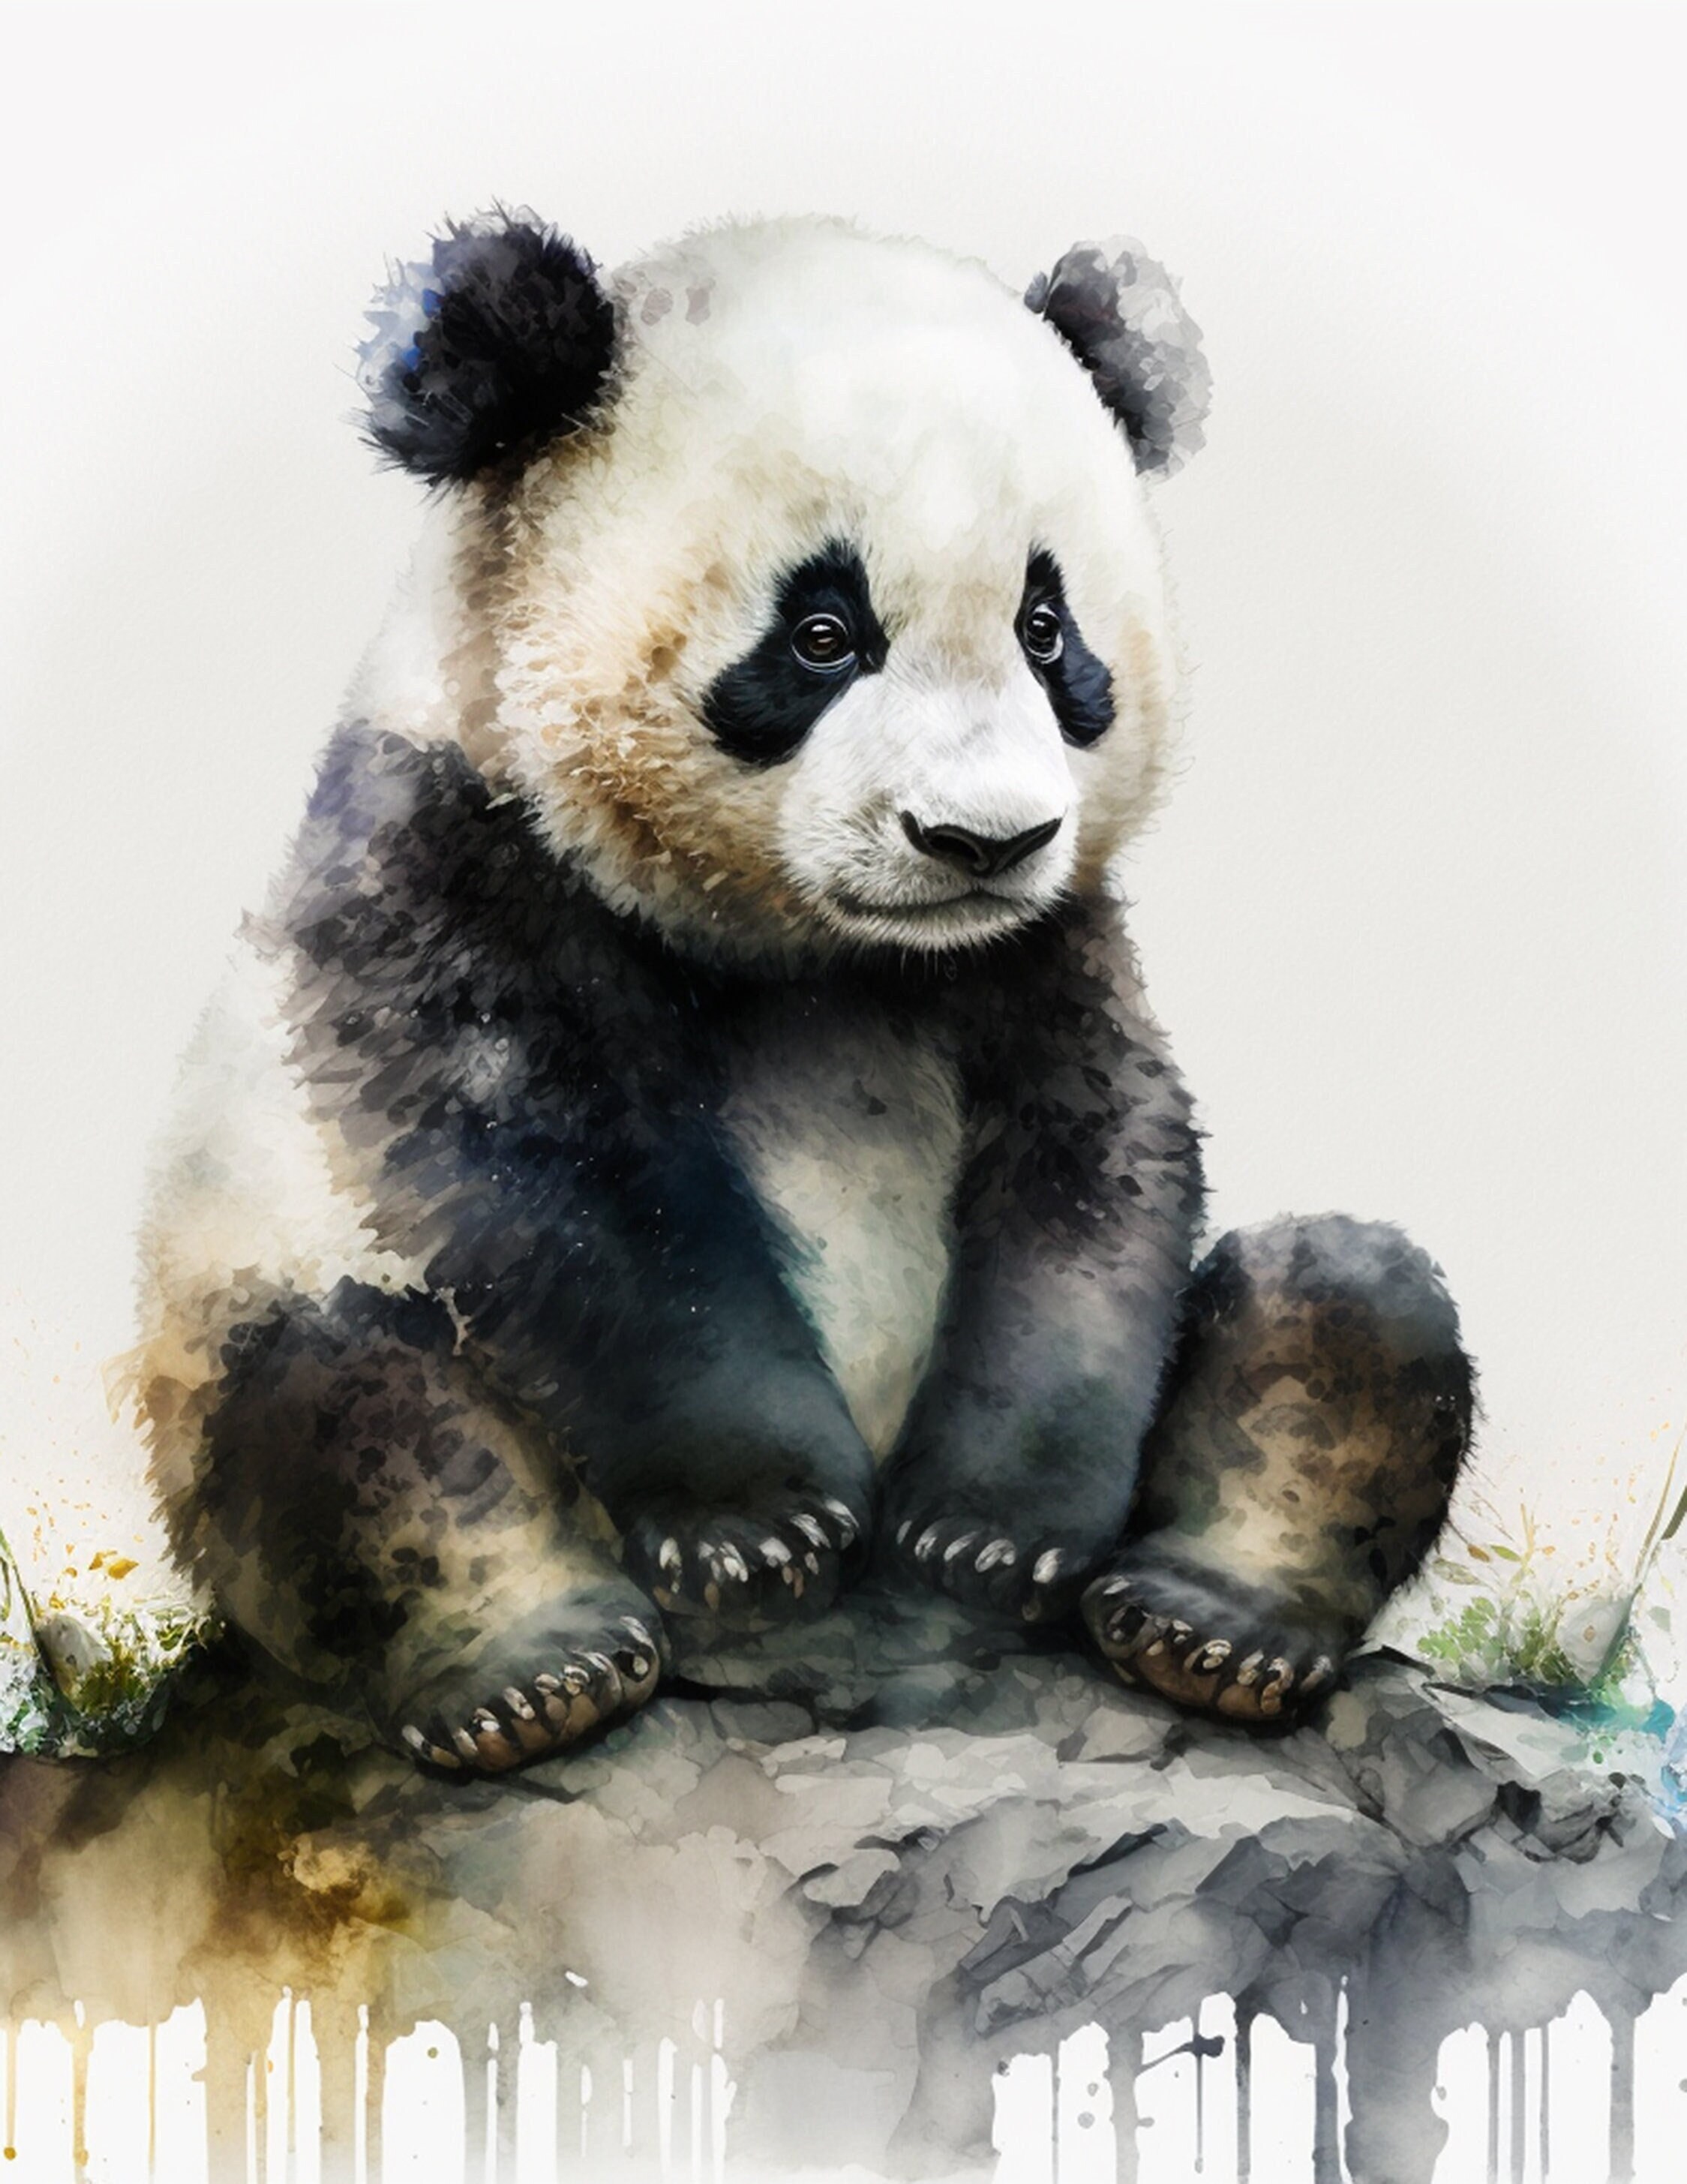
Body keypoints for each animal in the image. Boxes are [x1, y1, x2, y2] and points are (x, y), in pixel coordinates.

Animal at [134, 210, 1473, 1775]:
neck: (816, 952)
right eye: (820, 634)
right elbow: (569, 1185)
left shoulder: (1036, 947)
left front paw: (992, 1529)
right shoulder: (447, 856)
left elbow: (1096, 1162)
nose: (982, 840)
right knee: (346, 1415)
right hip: (247, 1305)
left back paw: (1213, 1619)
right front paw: (759, 1524)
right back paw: (531, 1668)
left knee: (1343, 1309)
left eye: (1045, 628)